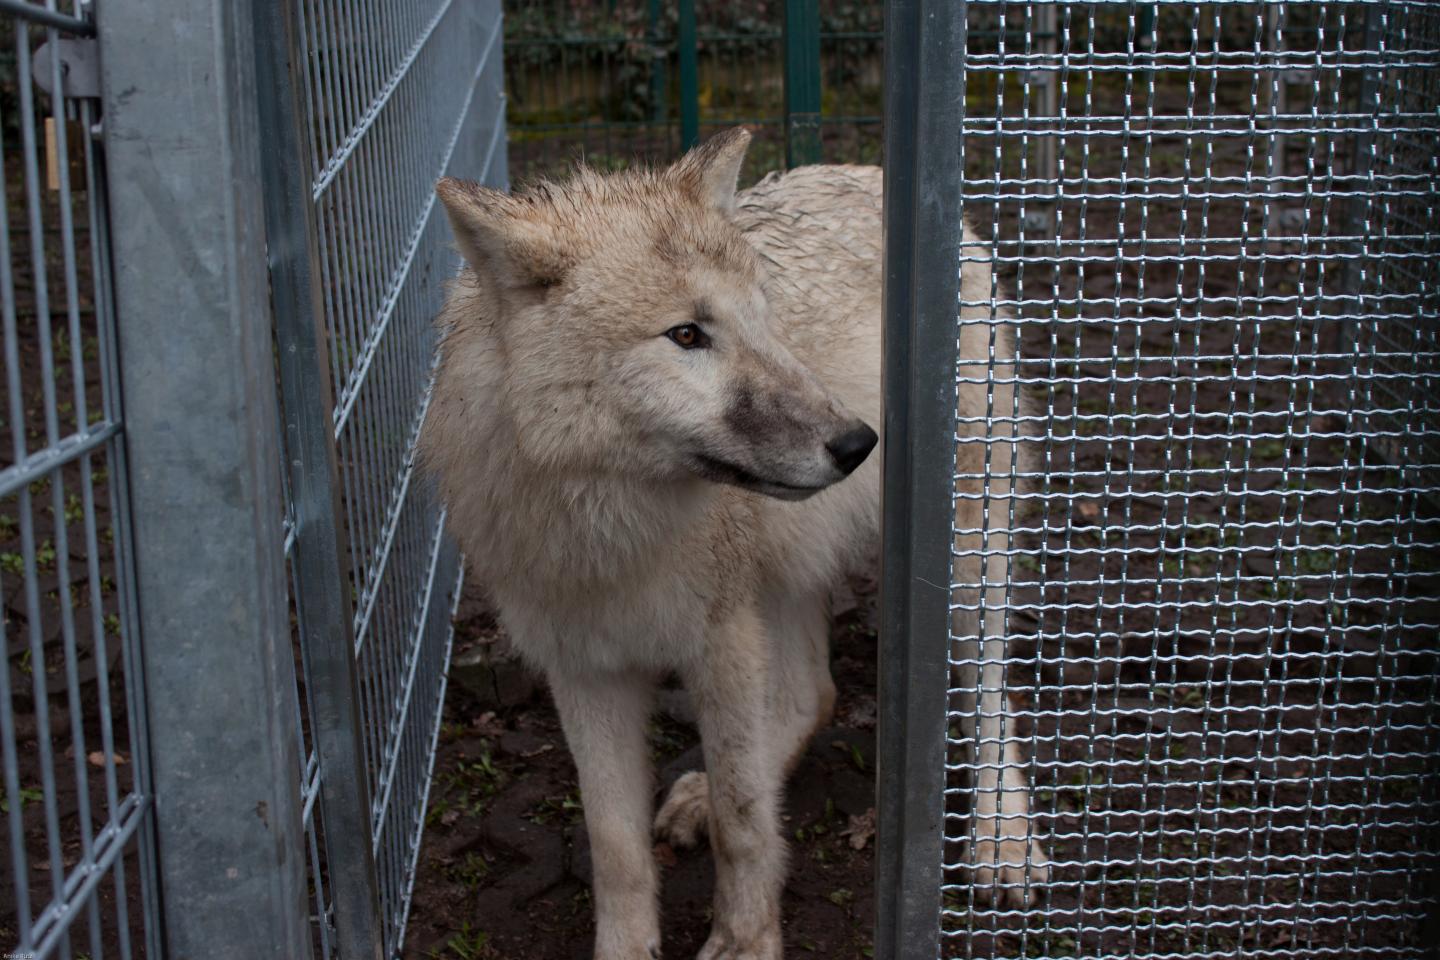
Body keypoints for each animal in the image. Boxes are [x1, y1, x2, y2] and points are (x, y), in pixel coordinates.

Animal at [421, 128, 1048, 959]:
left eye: (764, 320)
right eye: (687, 335)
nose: (858, 443)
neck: (607, 526)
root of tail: (871, 171)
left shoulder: (721, 641)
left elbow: (746, 825)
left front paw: (746, 940)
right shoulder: (583, 667)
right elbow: (615, 846)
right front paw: (629, 947)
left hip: (962, 560)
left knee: (986, 692)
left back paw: (1002, 842)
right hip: (781, 575)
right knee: (813, 695)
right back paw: (696, 795)